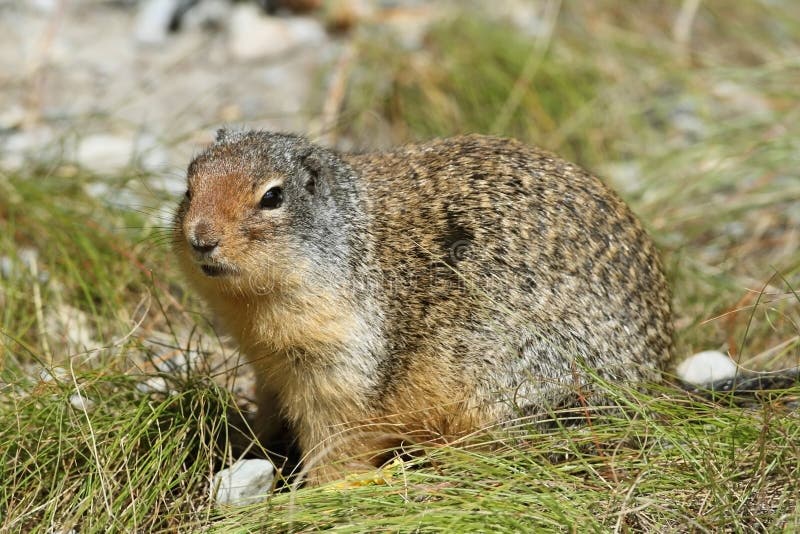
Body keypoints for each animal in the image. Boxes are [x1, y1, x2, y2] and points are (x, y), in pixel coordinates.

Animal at [174, 129, 676, 483]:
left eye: (272, 196)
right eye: (189, 184)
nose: (201, 238)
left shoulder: (343, 360)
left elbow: (338, 439)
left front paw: (322, 491)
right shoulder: (268, 365)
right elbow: (270, 410)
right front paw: (244, 442)